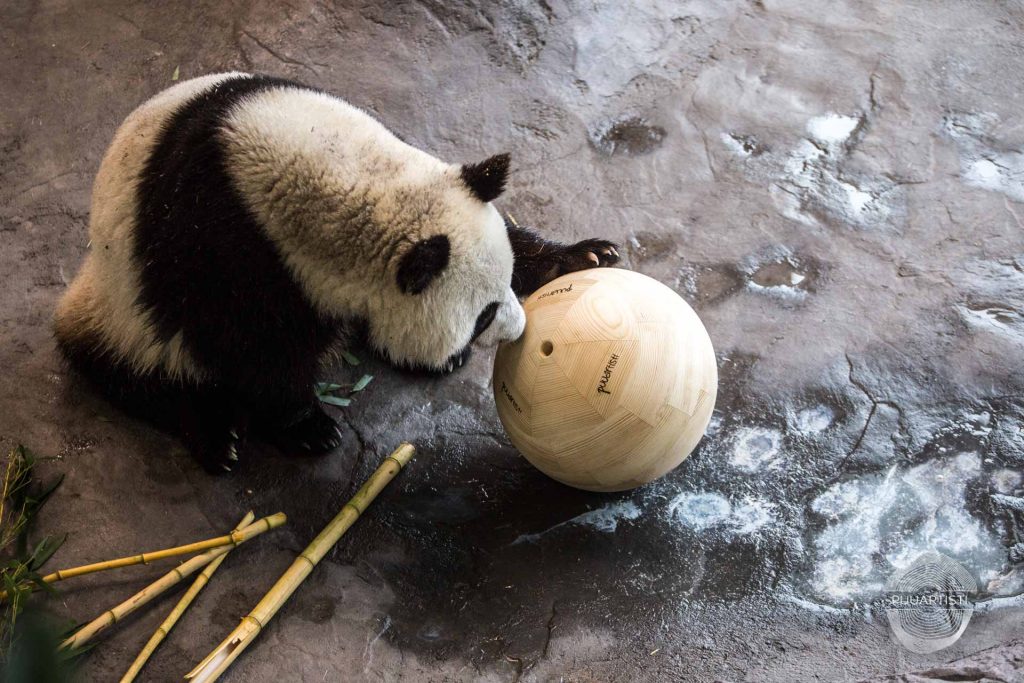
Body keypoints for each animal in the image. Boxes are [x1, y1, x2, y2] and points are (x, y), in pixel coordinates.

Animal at [54, 73, 619, 473]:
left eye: (504, 289)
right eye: (483, 316)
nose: (519, 328)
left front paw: (585, 256)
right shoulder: (222, 247)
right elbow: (248, 347)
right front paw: (307, 426)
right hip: (121, 294)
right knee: (133, 365)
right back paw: (215, 434)